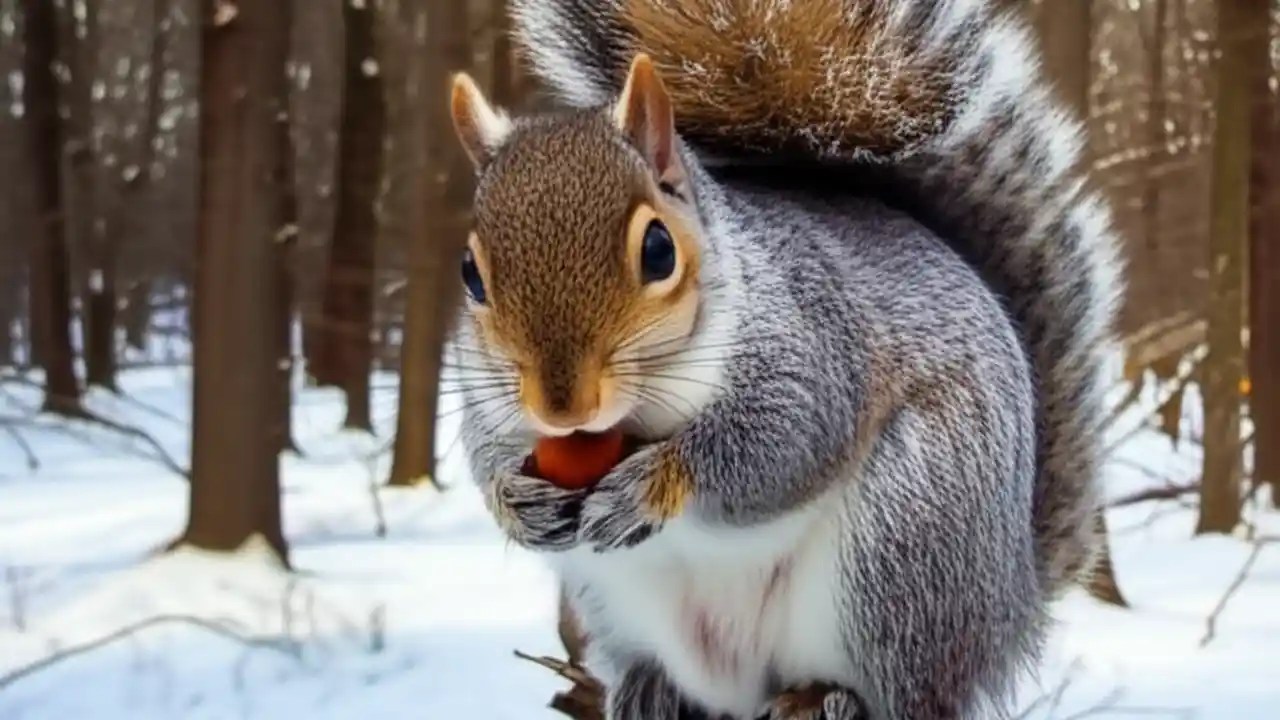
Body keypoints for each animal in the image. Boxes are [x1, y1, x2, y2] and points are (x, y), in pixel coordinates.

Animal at [447, 1, 1123, 718]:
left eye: (658, 251)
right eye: (470, 274)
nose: (562, 407)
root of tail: (1012, 607)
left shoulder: (815, 350)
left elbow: (778, 445)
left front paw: (651, 484)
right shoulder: (483, 392)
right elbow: (483, 452)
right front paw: (514, 498)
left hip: (904, 551)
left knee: (898, 691)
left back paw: (824, 695)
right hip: (611, 602)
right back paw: (653, 686)